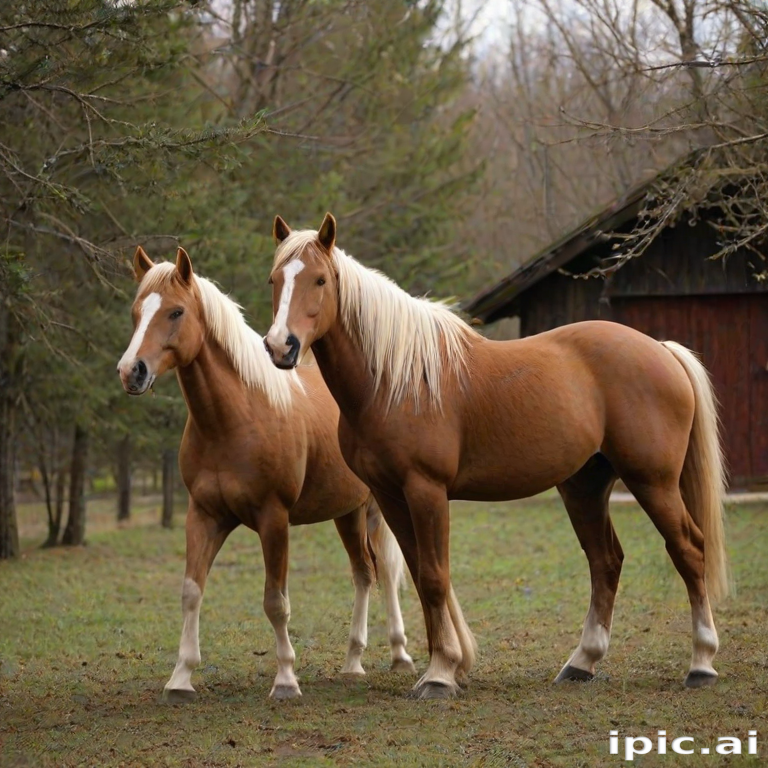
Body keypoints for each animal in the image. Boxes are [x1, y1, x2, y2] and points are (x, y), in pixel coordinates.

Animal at [116, 245, 417, 702]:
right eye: (136, 312)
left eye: (176, 312)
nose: (131, 370)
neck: (236, 419)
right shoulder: (204, 516)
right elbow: (191, 591)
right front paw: (181, 677)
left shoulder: (273, 519)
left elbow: (276, 600)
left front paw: (286, 679)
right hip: (345, 512)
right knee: (364, 573)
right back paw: (353, 662)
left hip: (375, 507)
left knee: (384, 567)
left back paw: (399, 653)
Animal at [263, 213, 729, 700]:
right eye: (275, 279)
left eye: (319, 279)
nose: (280, 346)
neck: (394, 379)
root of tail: (660, 349)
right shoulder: (389, 496)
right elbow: (419, 573)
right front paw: (443, 666)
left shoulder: (426, 490)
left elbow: (434, 577)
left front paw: (440, 673)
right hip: (584, 486)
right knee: (605, 561)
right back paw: (582, 662)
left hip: (652, 481)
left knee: (688, 550)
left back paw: (701, 662)